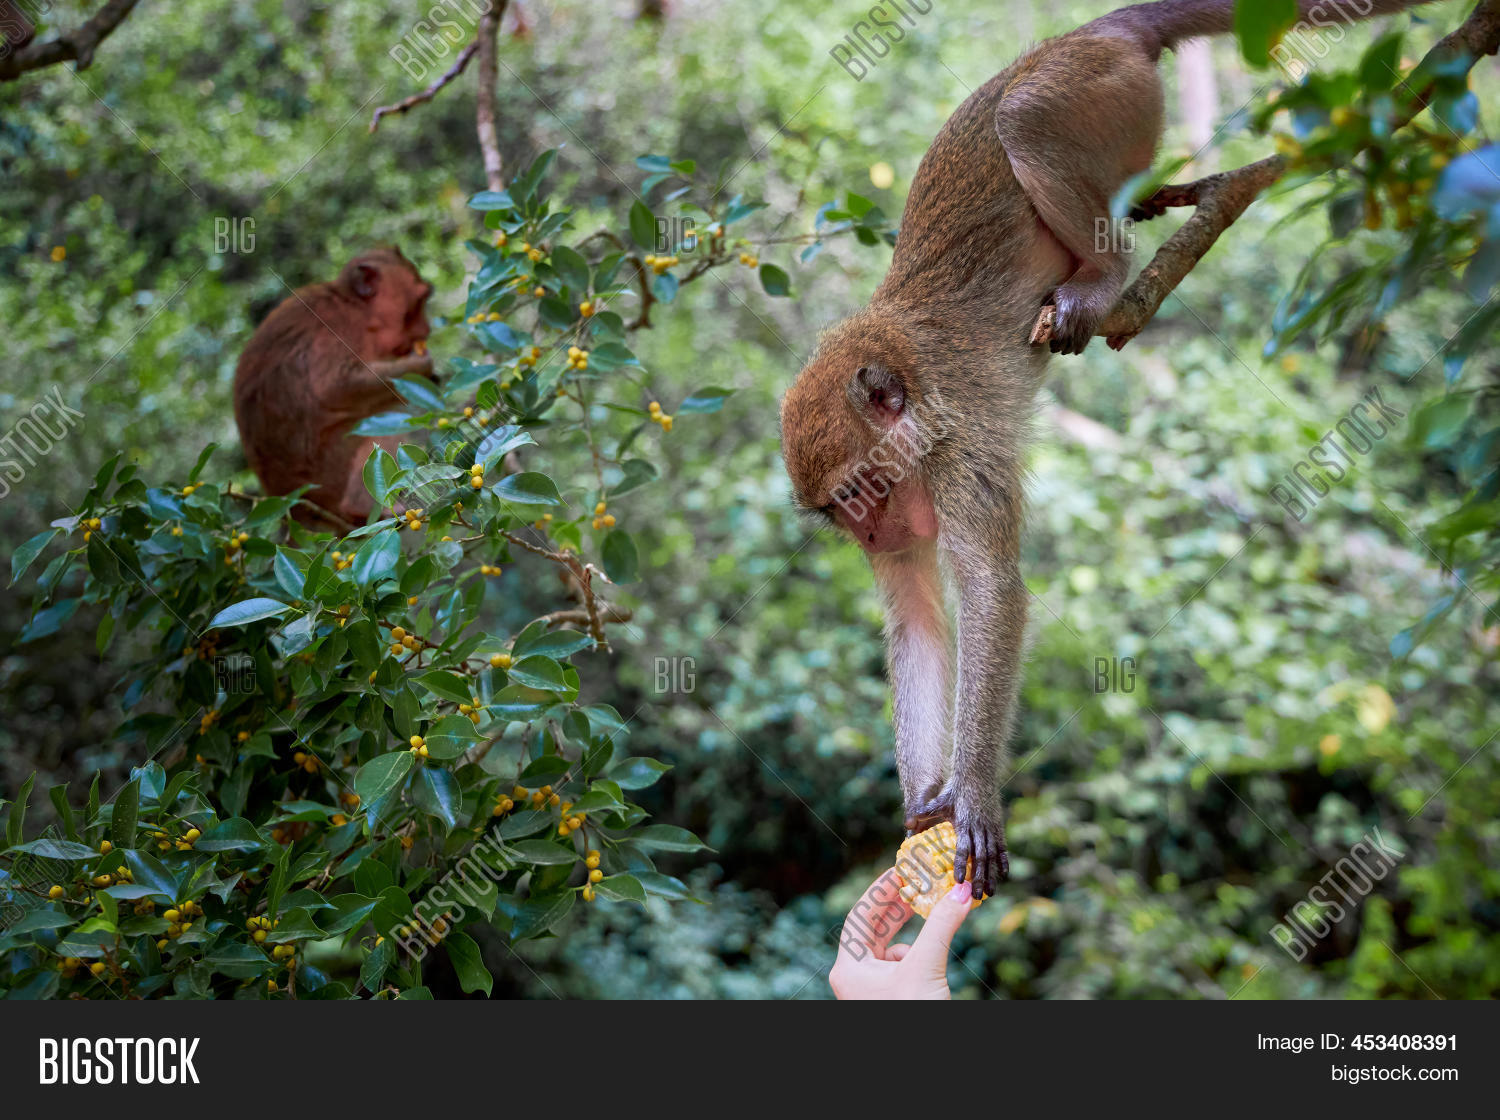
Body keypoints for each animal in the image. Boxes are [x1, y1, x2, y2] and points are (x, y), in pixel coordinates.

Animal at [234, 248, 434, 527]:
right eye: (417, 304)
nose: (427, 330)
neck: (356, 310)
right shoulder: (337, 329)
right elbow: (333, 387)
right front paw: (421, 366)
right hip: (330, 473)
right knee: (388, 421)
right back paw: (365, 508)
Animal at [780, 0, 1429, 899]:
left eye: (860, 493)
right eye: (843, 514)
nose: (873, 533)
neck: (920, 399)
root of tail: (1100, 31)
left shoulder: (962, 451)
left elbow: (992, 592)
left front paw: (974, 792)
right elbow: (916, 619)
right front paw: (927, 800)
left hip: (1097, 94)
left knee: (1025, 120)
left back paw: (1105, 271)